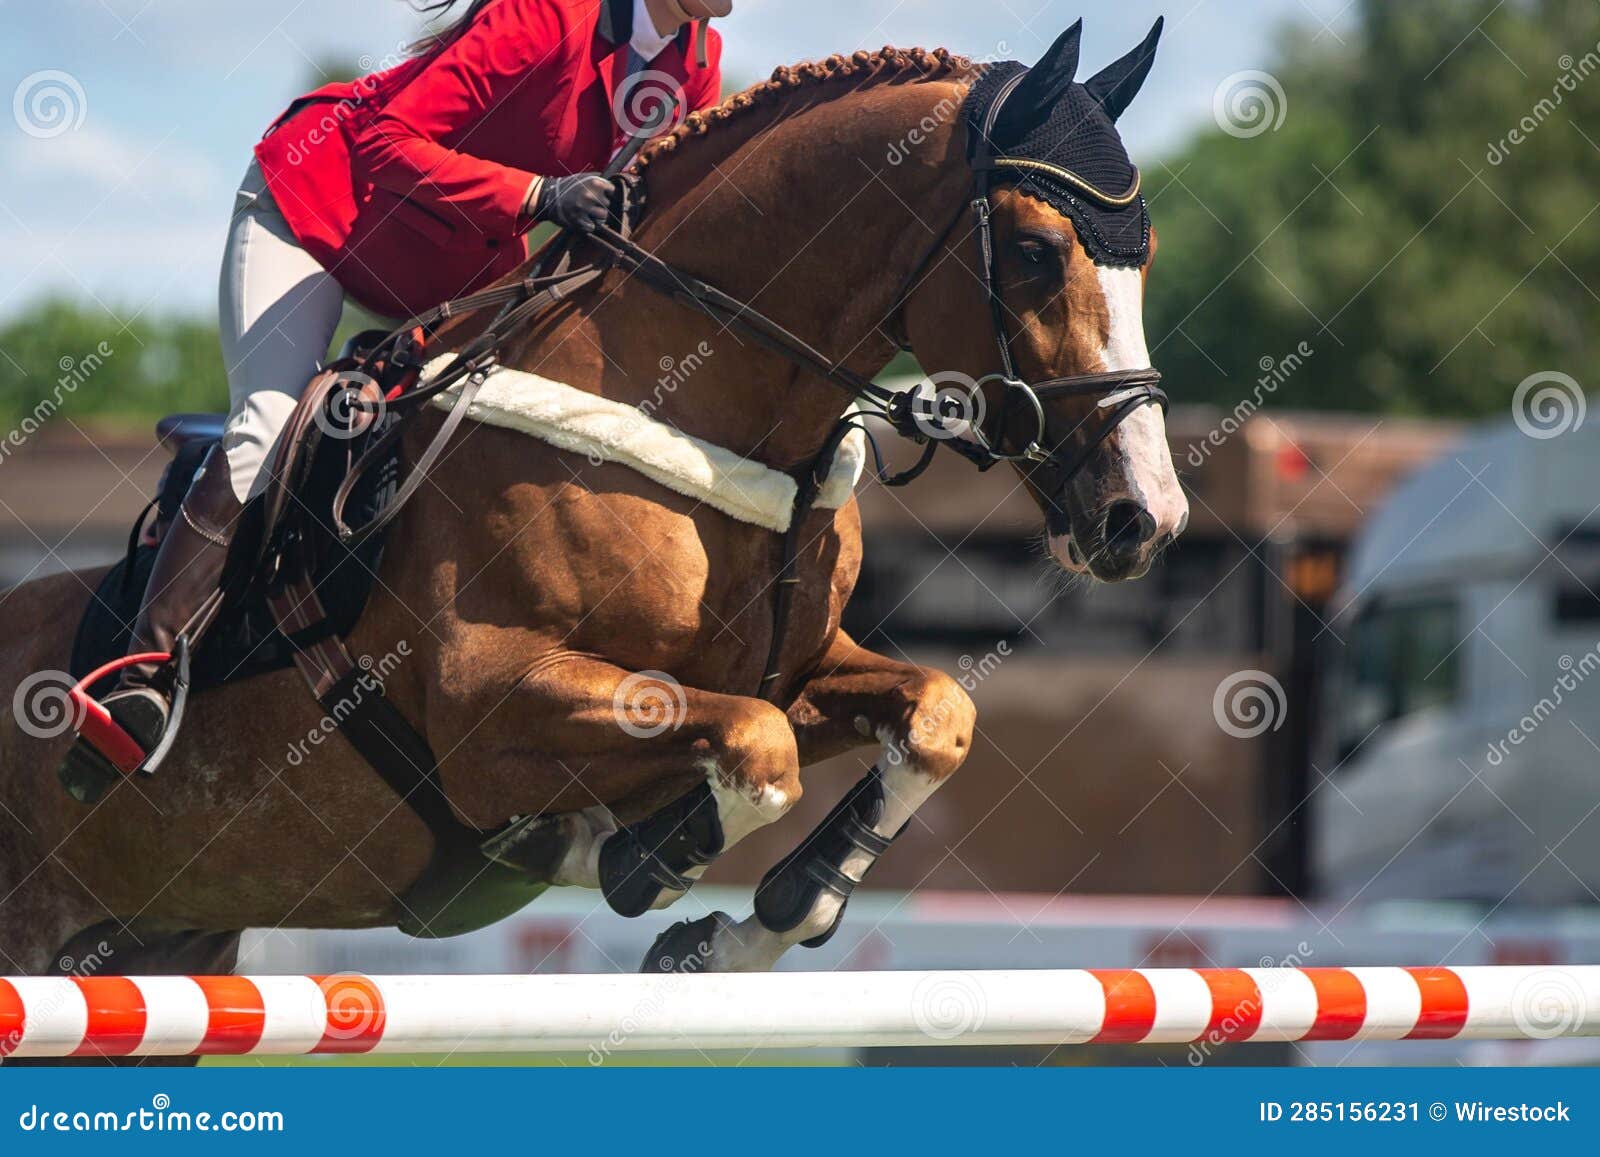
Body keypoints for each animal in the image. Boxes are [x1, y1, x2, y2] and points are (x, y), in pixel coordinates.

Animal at [0, 26, 1186, 1013]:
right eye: (1034, 249)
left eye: (1148, 253)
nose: (1145, 517)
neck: (710, 408)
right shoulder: (490, 708)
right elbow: (754, 751)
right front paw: (640, 859)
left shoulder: (797, 672)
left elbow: (936, 714)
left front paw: (740, 927)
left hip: (168, 942)